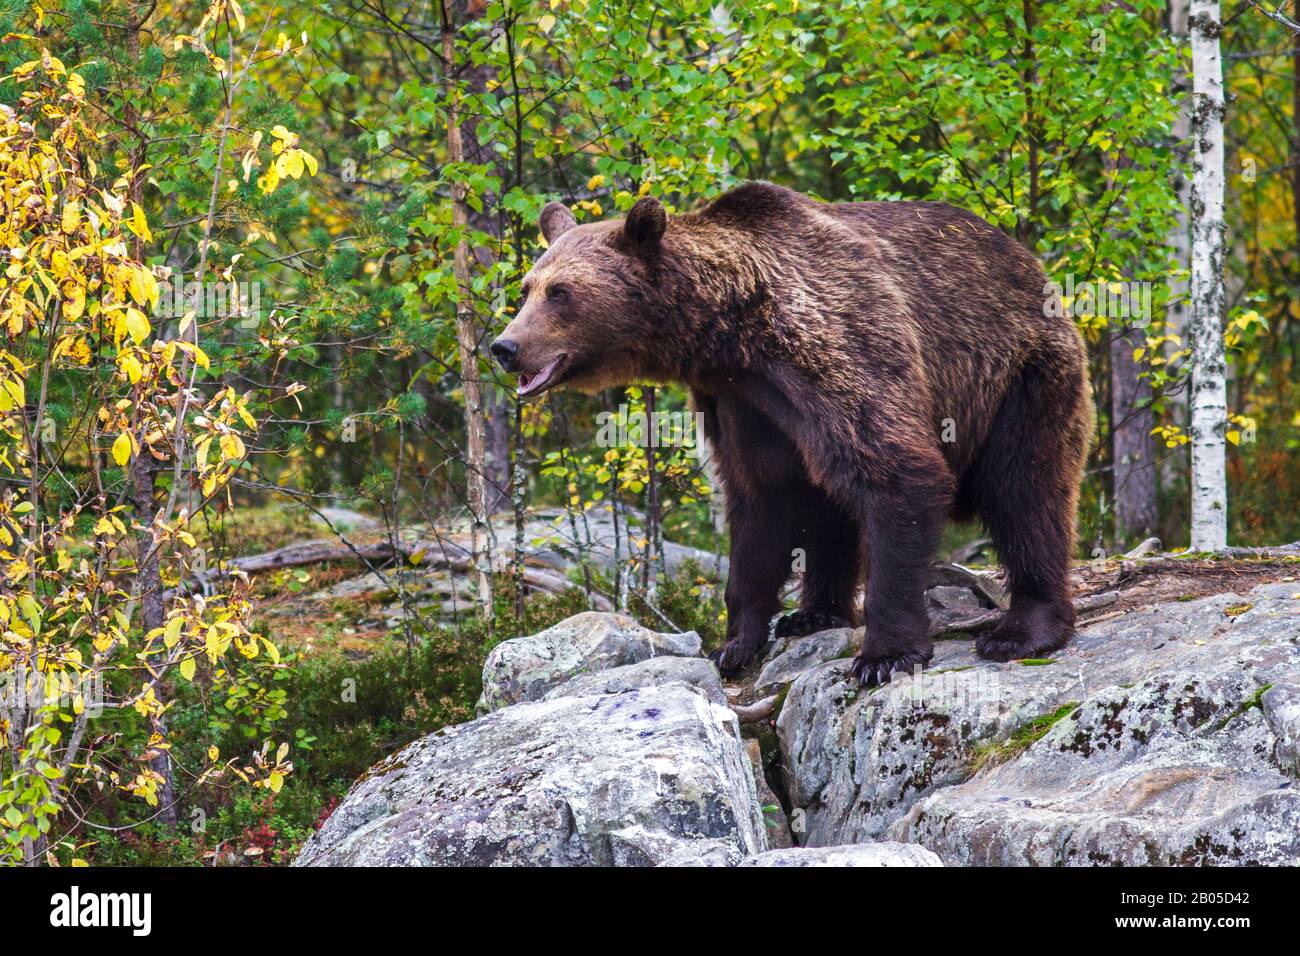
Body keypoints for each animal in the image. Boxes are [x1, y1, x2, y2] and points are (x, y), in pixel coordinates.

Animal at [491, 182, 1094, 686]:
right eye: (526, 288)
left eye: (561, 292)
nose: (505, 347)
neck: (731, 336)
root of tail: (1026, 260)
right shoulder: (744, 406)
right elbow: (760, 505)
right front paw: (735, 643)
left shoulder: (835, 343)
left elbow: (898, 470)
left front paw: (885, 654)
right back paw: (813, 614)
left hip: (1019, 377)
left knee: (1026, 489)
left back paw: (1022, 629)